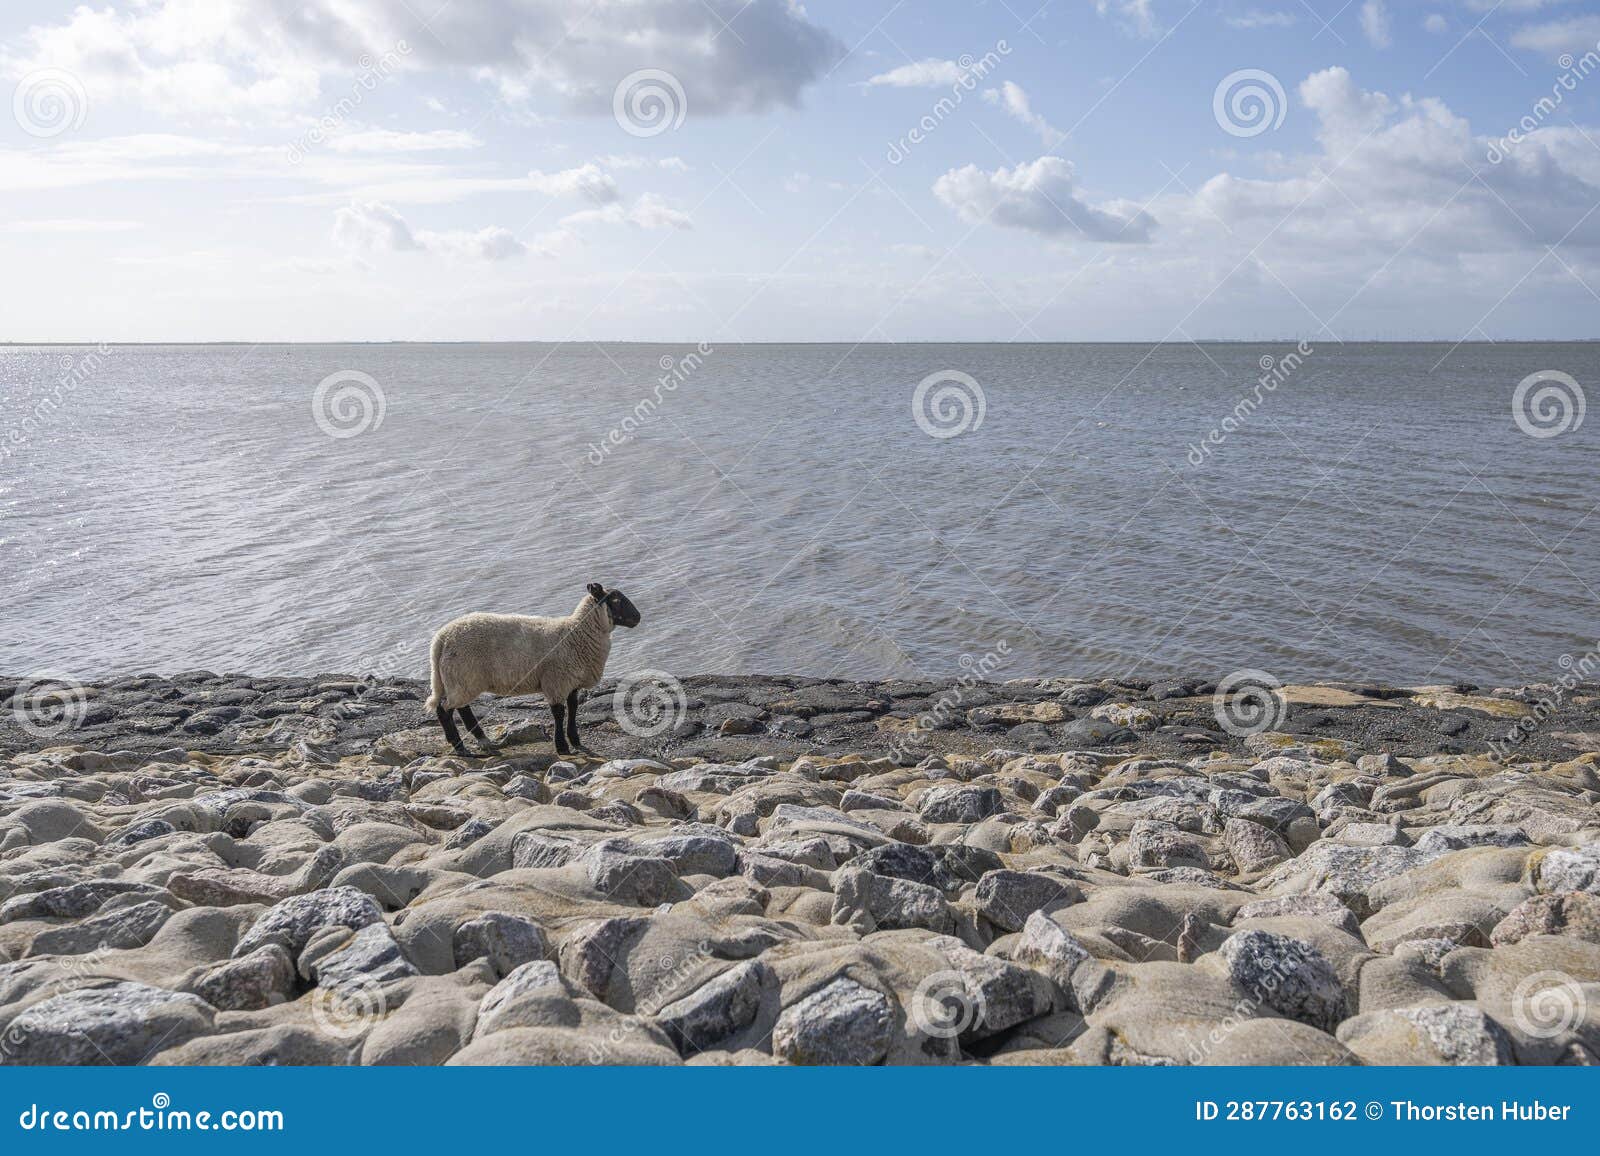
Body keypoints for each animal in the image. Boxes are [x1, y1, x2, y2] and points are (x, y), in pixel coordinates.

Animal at [424, 582, 642, 758]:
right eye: (616, 600)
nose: (638, 618)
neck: (577, 633)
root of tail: (441, 638)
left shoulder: (572, 681)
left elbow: (573, 708)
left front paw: (575, 740)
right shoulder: (556, 680)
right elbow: (559, 713)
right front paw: (562, 747)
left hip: (462, 679)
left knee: (462, 708)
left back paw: (482, 740)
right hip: (463, 675)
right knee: (444, 710)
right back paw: (460, 747)